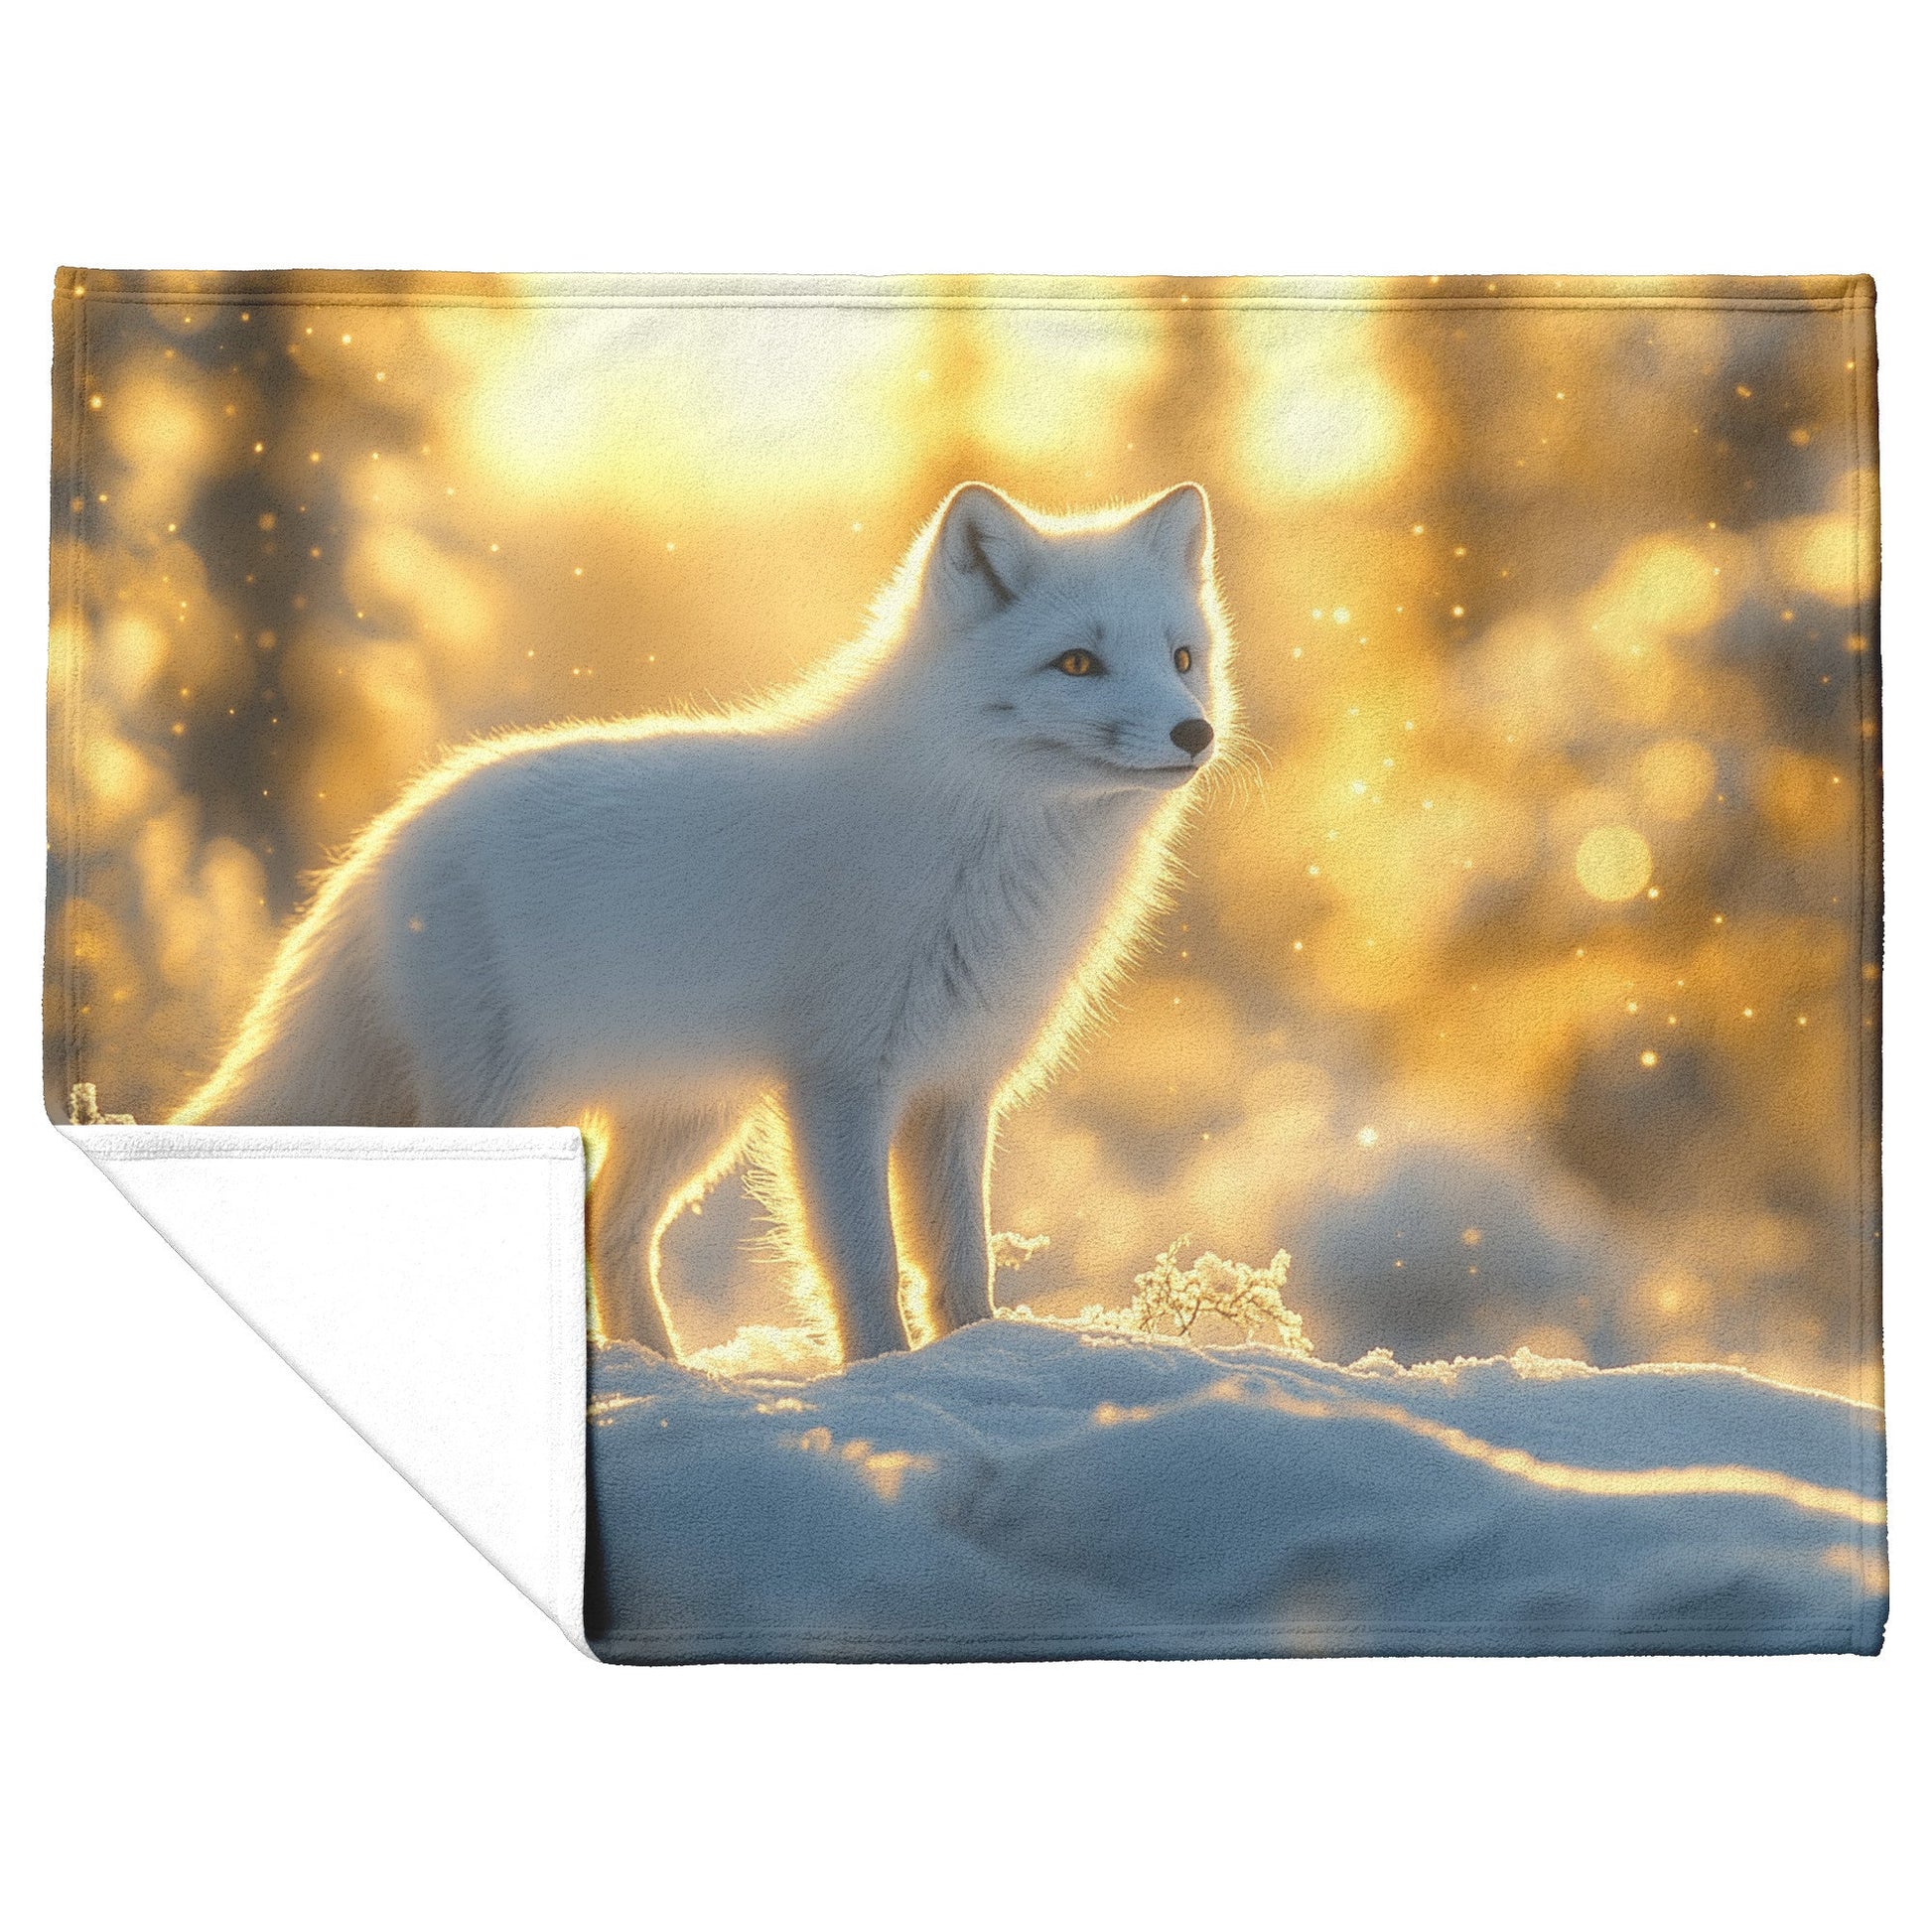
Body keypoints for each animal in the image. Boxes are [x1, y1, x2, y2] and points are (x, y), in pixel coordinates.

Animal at [175, 482, 1236, 1360]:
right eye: (1078, 661)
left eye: (1182, 657)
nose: (1196, 732)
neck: (983, 848)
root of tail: (384, 838)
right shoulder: (839, 1085)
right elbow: (864, 1266)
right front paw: (884, 1376)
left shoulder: (956, 1089)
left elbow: (959, 1266)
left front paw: (976, 1369)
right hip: (509, 1103)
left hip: (691, 1116)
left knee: (610, 1229)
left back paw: (660, 1369)